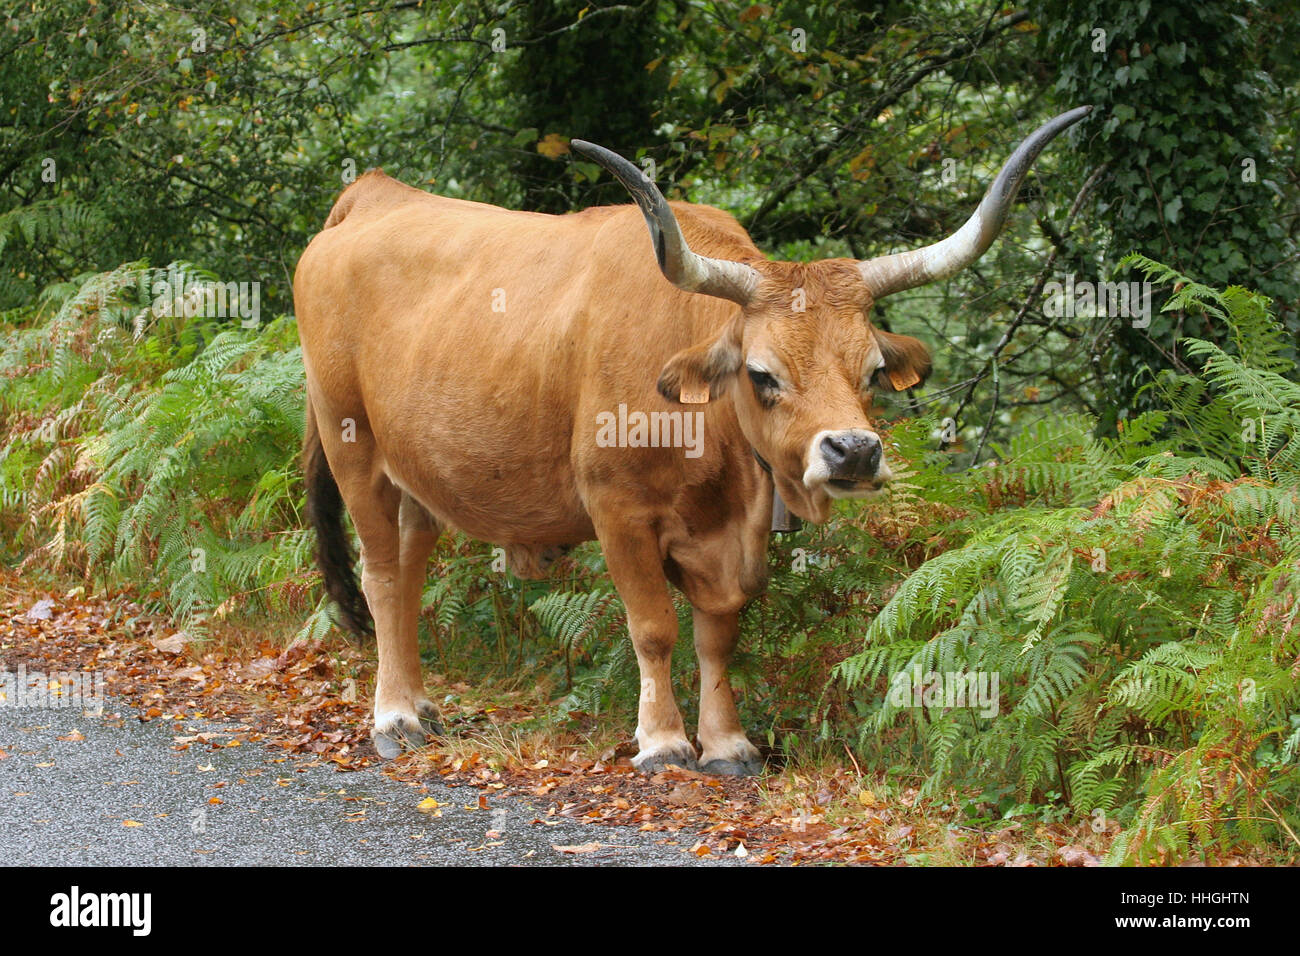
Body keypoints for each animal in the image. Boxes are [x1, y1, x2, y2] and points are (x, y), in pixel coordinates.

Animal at [294, 106, 1091, 774]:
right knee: (382, 575)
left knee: (409, 567)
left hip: (417, 472)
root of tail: (375, 194)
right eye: (763, 374)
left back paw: (420, 701)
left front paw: (728, 742)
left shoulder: (727, 541)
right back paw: (393, 717)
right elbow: (654, 627)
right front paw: (664, 741)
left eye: (870, 371)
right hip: (353, 447)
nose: (854, 452)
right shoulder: (617, 509)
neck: (726, 478)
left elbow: (718, 635)